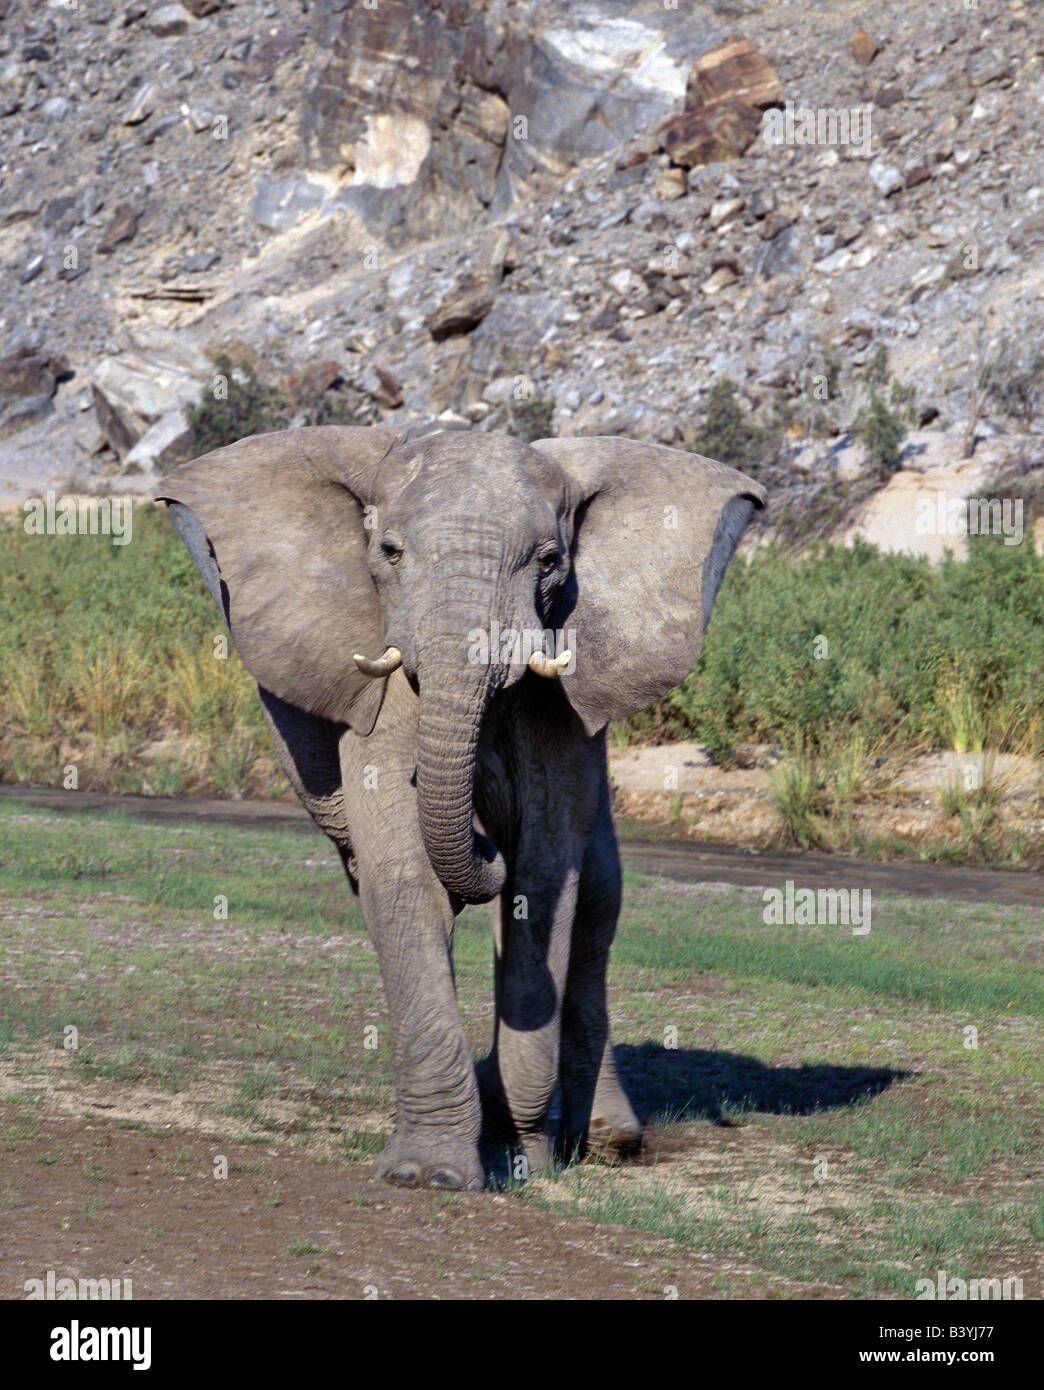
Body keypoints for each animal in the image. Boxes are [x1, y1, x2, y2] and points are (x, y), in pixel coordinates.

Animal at [157, 427, 765, 1190]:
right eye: (389, 552)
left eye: (549, 561)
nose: (484, 833)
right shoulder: (382, 679)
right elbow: (406, 877)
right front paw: (430, 1174)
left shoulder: (563, 705)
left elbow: (544, 877)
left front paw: (517, 1154)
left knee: (596, 901)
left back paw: (608, 1142)